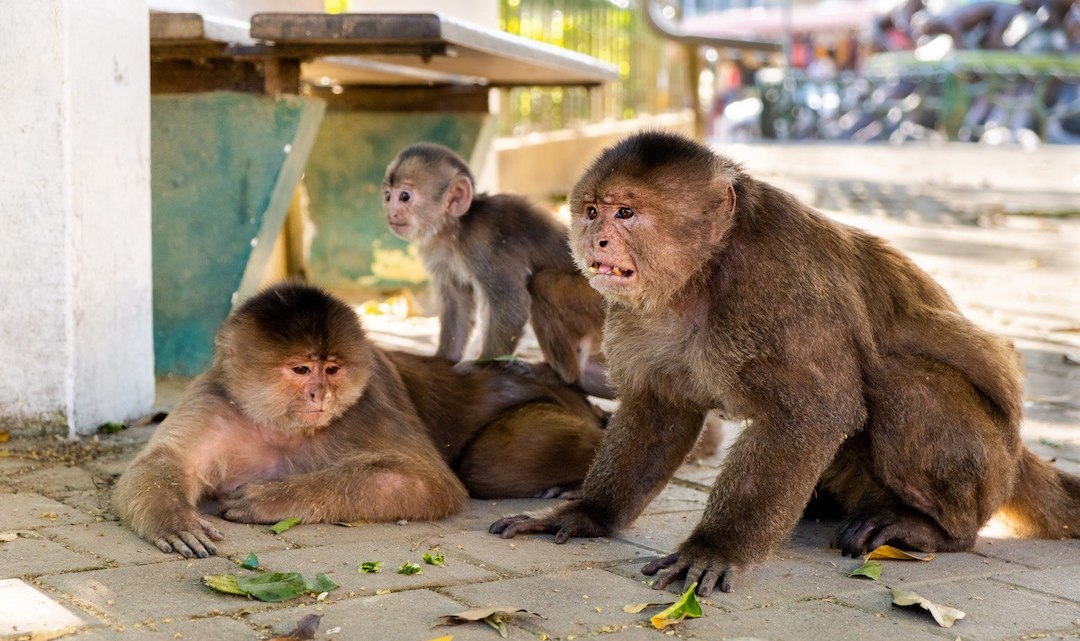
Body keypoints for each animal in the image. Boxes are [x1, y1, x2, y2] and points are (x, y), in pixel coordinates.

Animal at [112, 282, 605, 558]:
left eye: (332, 369)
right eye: (301, 370)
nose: (321, 394)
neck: (281, 427)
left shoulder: (369, 398)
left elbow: (429, 481)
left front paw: (273, 499)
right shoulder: (213, 398)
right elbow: (161, 464)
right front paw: (175, 520)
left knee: (489, 465)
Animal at [381, 142, 611, 399]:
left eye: (405, 197)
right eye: (388, 196)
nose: (391, 212)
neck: (457, 228)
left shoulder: (482, 242)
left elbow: (510, 302)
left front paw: (483, 366)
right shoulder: (438, 251)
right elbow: (458, 301)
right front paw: (440, 362)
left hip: (598, 302)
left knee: (543, 285)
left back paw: (560, 375)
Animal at [490, 131, 1080, 596]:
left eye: (626, 213)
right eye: (592, 211)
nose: (598, 239)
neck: (703, 274)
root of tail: (1017, 452)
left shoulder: (775, 282)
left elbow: (813, 414)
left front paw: (716, 547)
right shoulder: (636, 313)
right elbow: (660, 409)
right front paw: (588, 514)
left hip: (990, 466)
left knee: (901, 383)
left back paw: (940, 530)